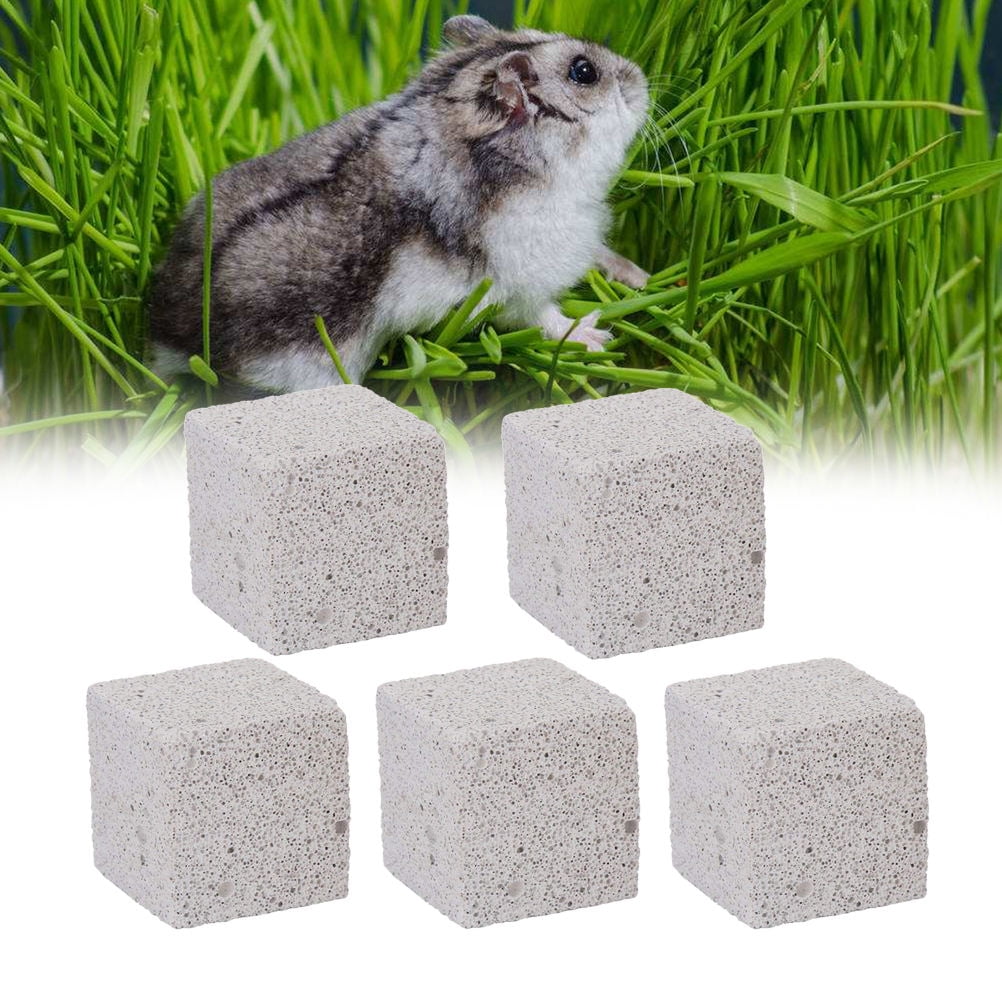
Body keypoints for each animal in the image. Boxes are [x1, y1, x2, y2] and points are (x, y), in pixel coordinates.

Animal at [147, 15, 650, 391]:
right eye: (584, 71)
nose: (641, 77)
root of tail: (168, 337)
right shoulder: (517, 282)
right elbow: (546, 317)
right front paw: (597, 336)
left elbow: (602, 253)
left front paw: (642, 277)